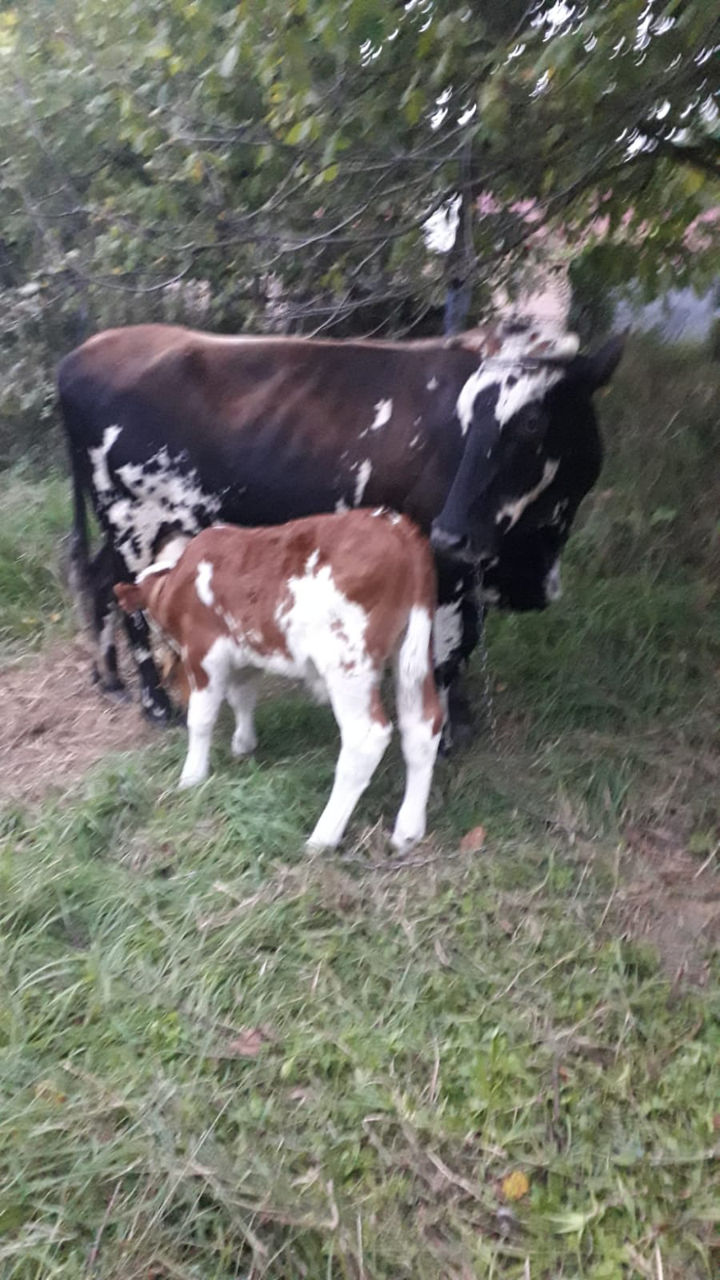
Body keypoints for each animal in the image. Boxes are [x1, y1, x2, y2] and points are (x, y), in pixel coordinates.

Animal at [58, 317, 624, 741]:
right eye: (469, 415)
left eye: (531, 422)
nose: (451, 531)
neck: (534, 547)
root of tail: (82, 353)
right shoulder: (445, 561)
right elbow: (447, 649)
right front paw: (445, 731)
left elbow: (466, 639)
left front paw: (461, 717)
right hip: (132, 519)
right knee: (129, 603)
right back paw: (157, 707)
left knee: (99, 582)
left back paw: (108, 679)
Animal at [114, 510, 443, 850]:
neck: (175, 581)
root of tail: (397, 527)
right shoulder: (246, 652)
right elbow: (242, 696)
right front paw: (243, 743)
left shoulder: (205, 652)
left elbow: (201, 719)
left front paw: (191, 776)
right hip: (412, 652)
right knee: (422, 726)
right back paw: (408, 831)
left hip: (348, 663)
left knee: (366, 737)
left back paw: (322, 838)